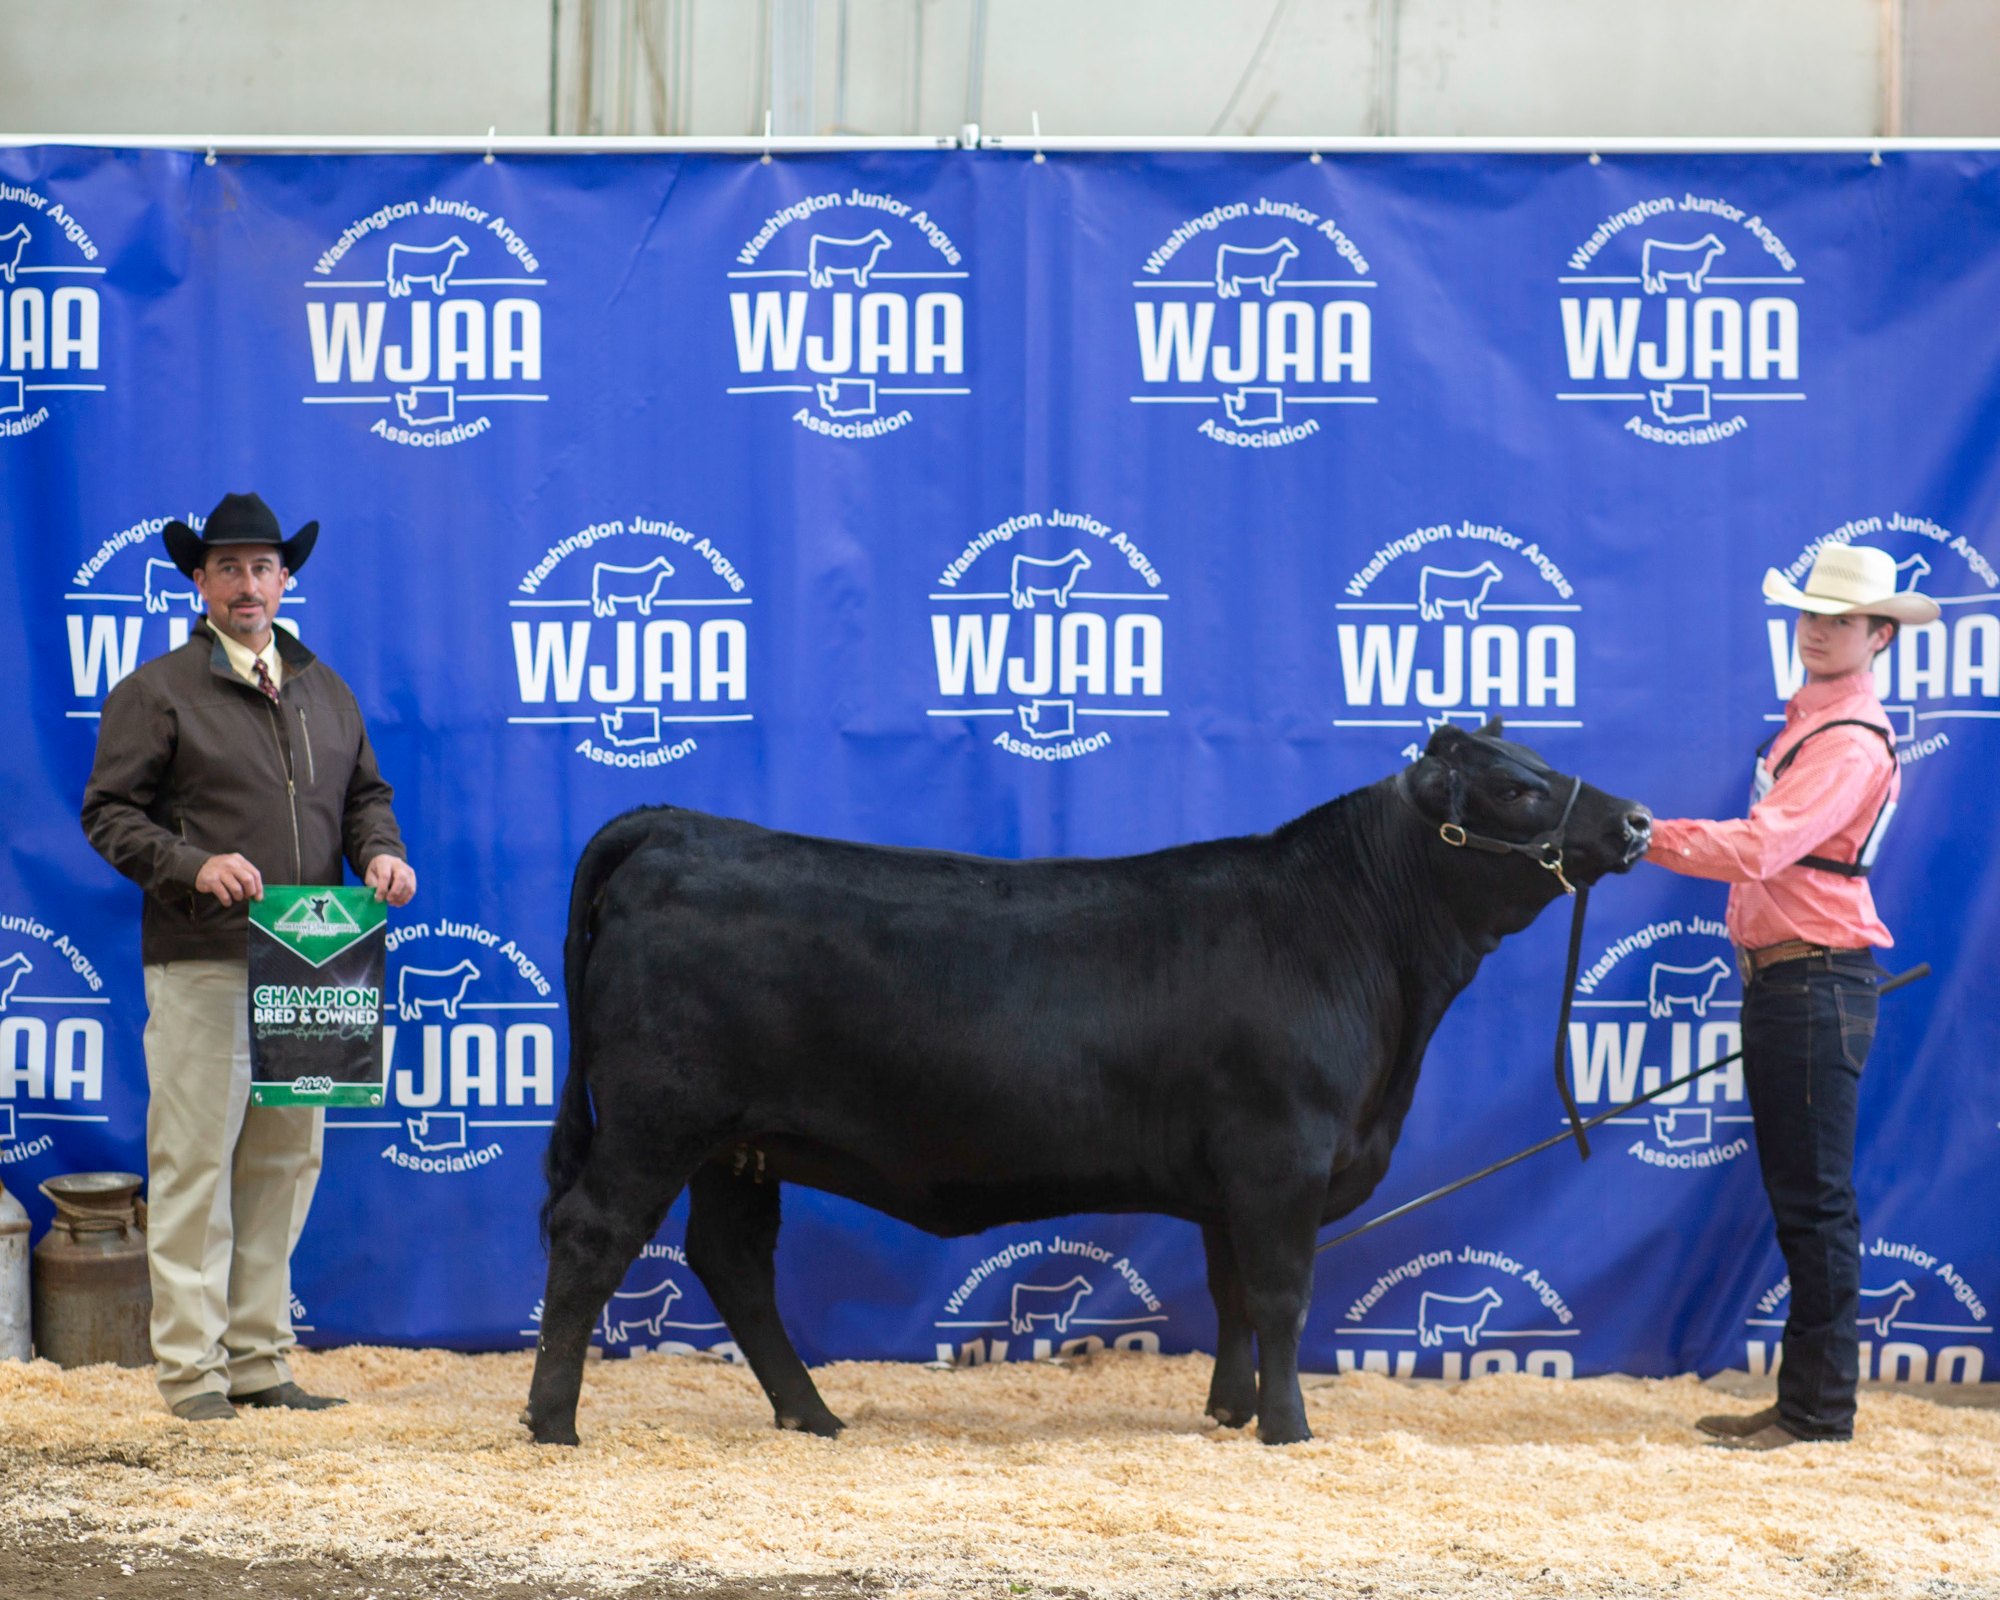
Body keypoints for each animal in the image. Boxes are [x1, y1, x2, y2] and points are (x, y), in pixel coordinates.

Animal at [524, 721, 1650, 1448]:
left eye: (1545, 764)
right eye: (1515, 788)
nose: (1638, 819)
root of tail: (678, 823)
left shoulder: (1231, 1178)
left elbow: (1233, 1292)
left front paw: (1230, 1410)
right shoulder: (1281, 1151)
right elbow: (1282, 1293)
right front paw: (1288, 1429)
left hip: (737, 1144)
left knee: (733, 1262)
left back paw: (811, 1414)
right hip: (659, 1117)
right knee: (590, 1235)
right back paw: (553, 1421)